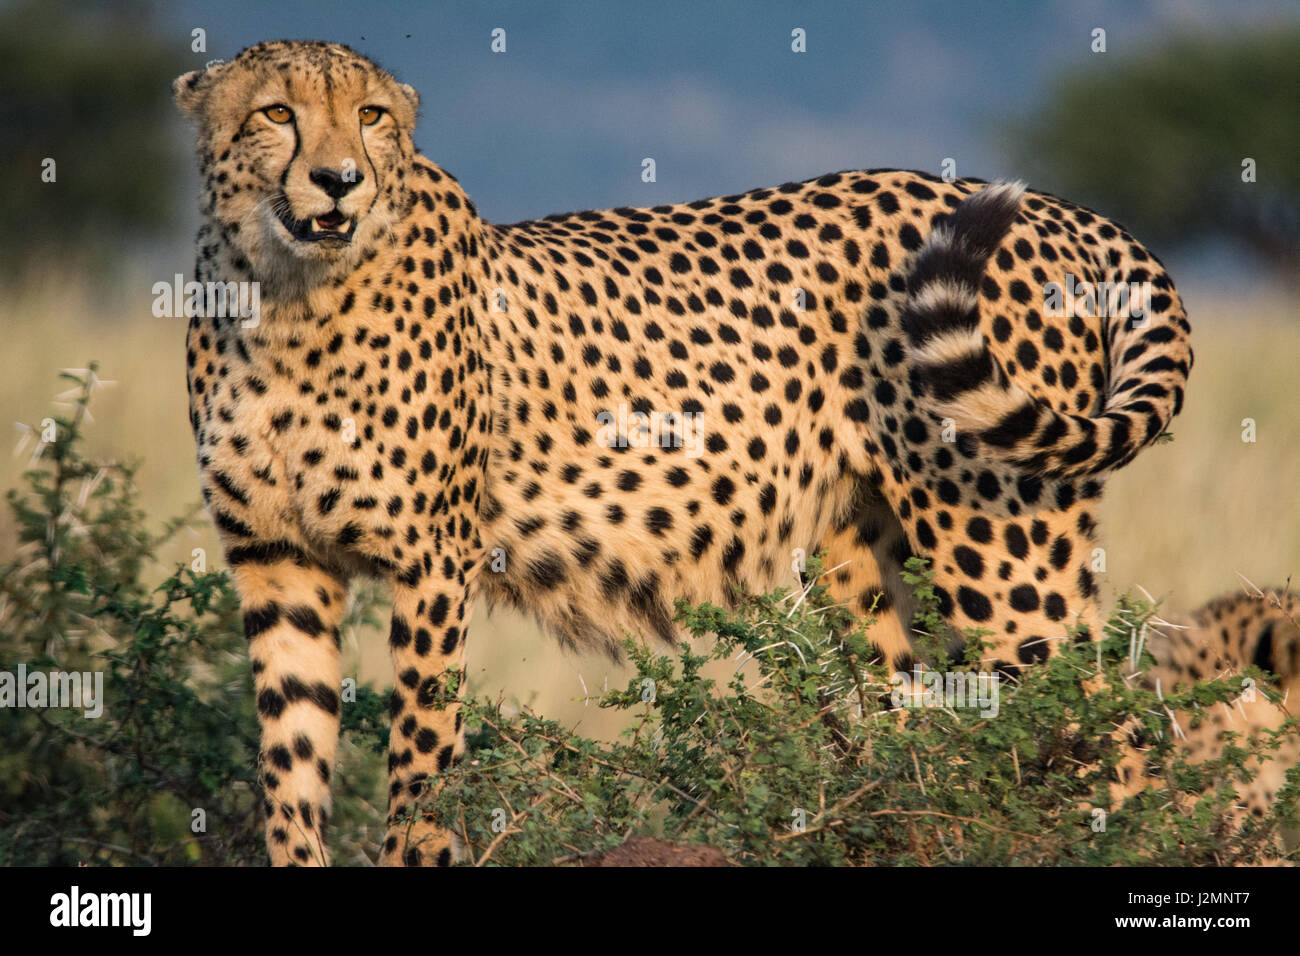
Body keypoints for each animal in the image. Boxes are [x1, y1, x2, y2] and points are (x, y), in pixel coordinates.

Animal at [173, 40, 1204, 866]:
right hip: (865, 562)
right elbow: (290, 760)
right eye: (277, 113)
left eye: (372, 117)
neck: (284, 297)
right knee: (923, 725)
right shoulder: (279, 563)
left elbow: (421, 757)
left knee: (1108, 735)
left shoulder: (432, 563)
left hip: (1002, 545)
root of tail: (1062, 211)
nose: (339, 179)